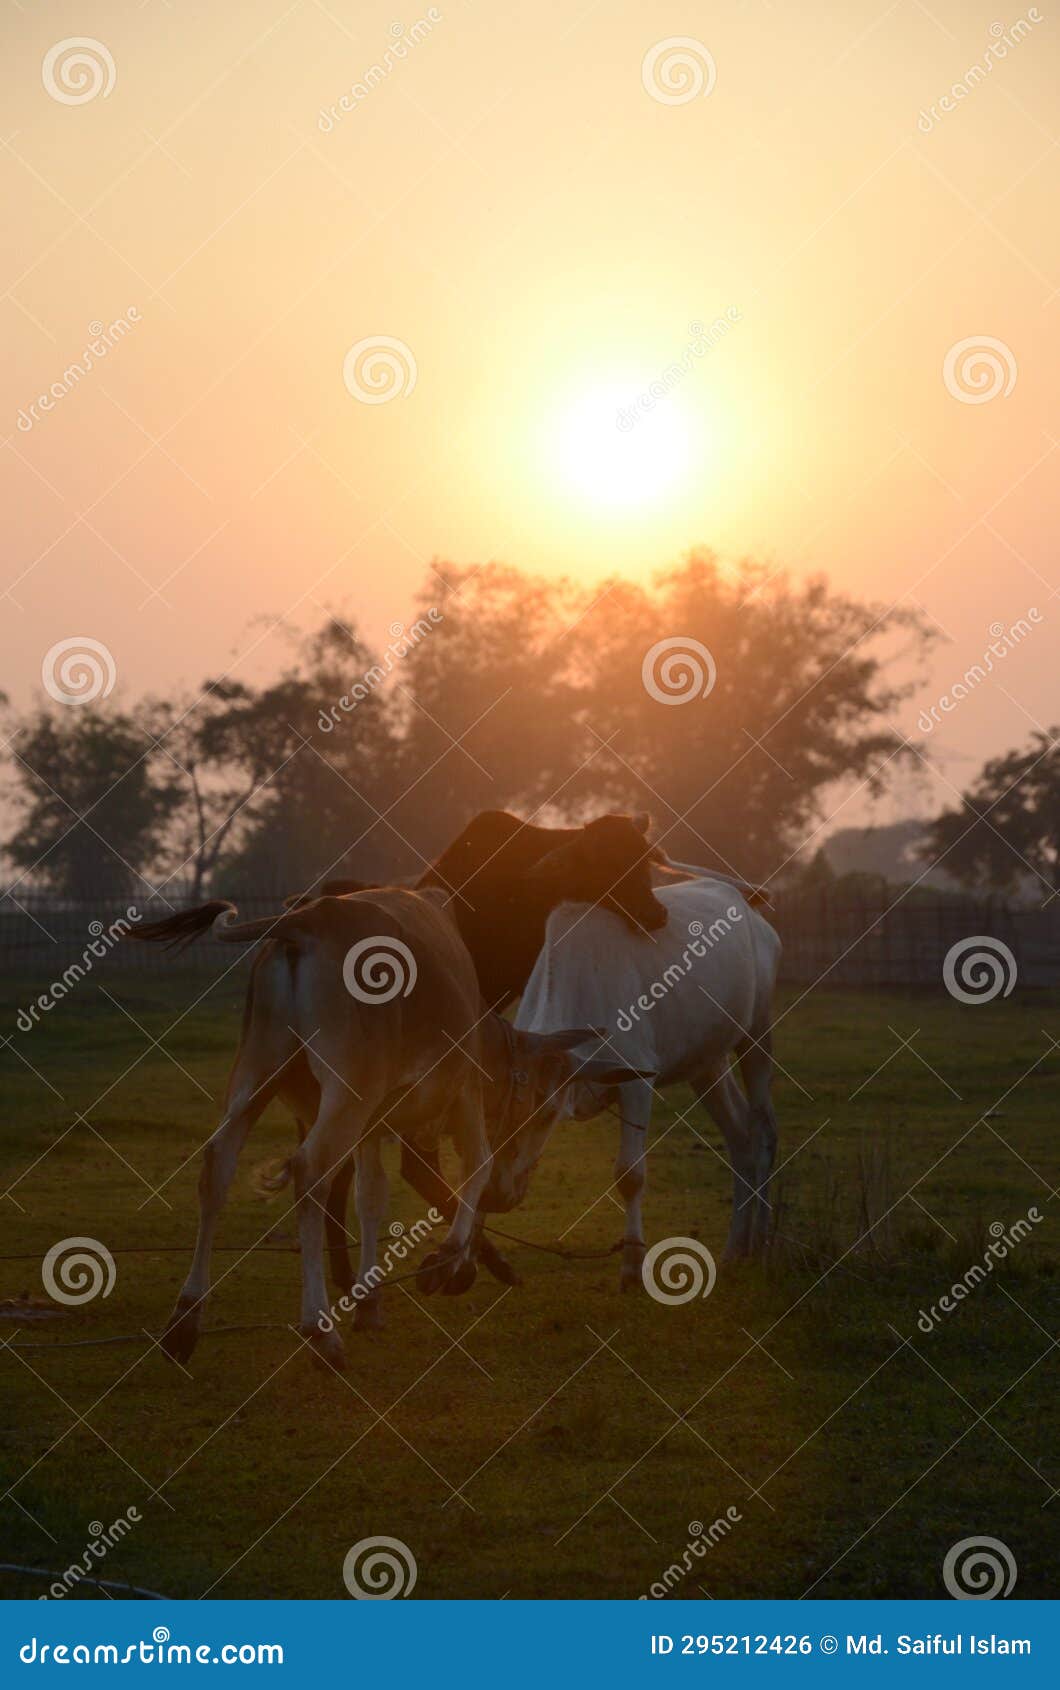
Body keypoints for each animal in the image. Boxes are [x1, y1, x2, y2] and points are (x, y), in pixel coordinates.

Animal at [159, 887, 648, 1371]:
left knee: (218, 1162)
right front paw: (446, 1261)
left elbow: (371, 1196)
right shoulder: (463, 1092)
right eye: (547, 1113)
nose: (510, 1196)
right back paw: (319, 1330)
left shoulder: (372, 1126)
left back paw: (185, 1318)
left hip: (259, 1069)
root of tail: (308, 920)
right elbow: (478, 1163)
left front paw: (370, 1301)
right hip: (348, 1088)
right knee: (310, 1172)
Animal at [510, 874, 782, 1289]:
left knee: (764, 1129)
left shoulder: (637, 1081)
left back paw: (763, 1244)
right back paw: (736, 1248)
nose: (503, 1192)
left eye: (545, 1114)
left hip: (757, 1035)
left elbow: (630, 1174)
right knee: (740, 1136)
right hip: (708, 1063)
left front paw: (632, 1264)